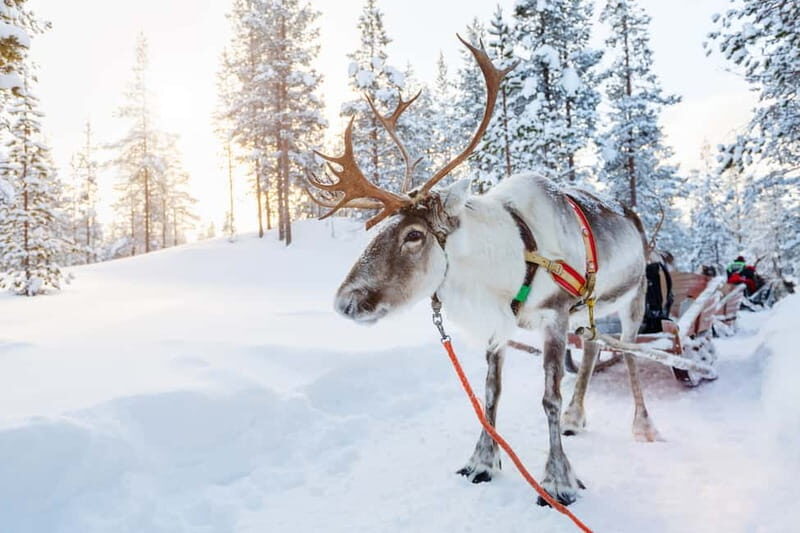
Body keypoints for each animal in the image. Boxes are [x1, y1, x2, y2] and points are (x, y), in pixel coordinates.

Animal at [307, 36, 661, 507]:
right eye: (380, 230)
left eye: (414, 235)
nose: (345, 302)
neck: (512, 256)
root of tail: (634, 217)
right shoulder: (500, 323)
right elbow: (491, 392)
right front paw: (481, 462)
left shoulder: (555, 314)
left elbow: (548, 396)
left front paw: (558, 481)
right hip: (590, 310)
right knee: (591, 348)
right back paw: (576, 416)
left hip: (633, 297)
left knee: (630, 352)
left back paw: (643, 425)